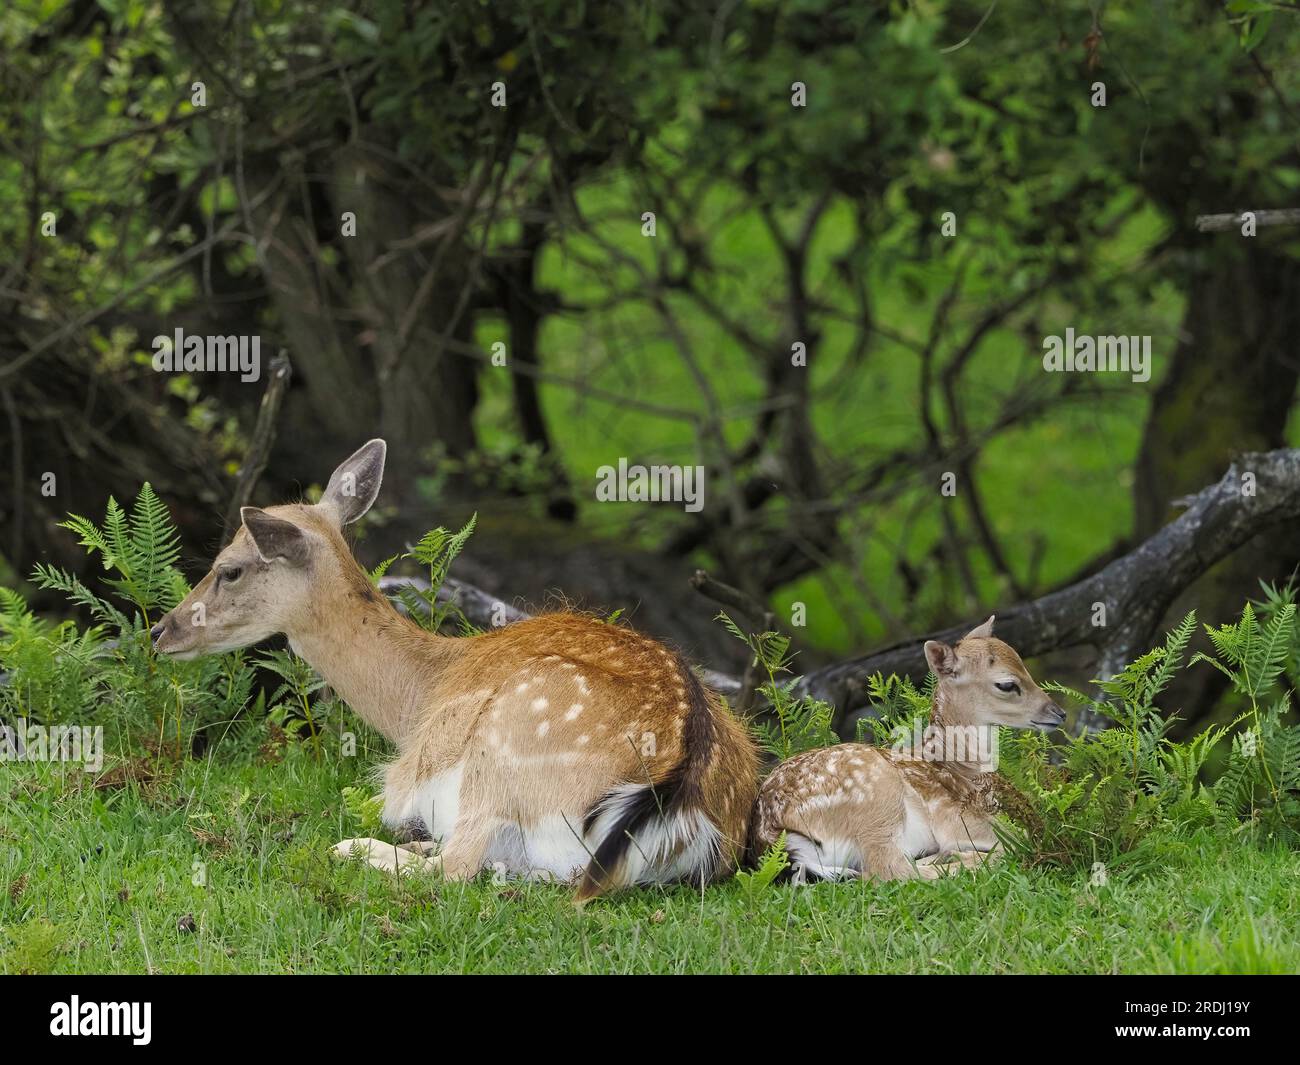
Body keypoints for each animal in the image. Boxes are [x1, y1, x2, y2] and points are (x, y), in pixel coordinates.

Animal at [151, 440, 759, 901]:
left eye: (229, 569)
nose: (160, 631)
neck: (421, 692)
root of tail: (677, 791)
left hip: (503, 748)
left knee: (456, 868)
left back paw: (361, 848)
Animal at [749, 617, 1063, 883]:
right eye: (1007, 684)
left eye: (1025, 666)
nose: (1059, 713)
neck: (962, 769)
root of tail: (776, 833)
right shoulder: (954, 817)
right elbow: (1021, 838)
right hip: (876, 795)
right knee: (886, 870)